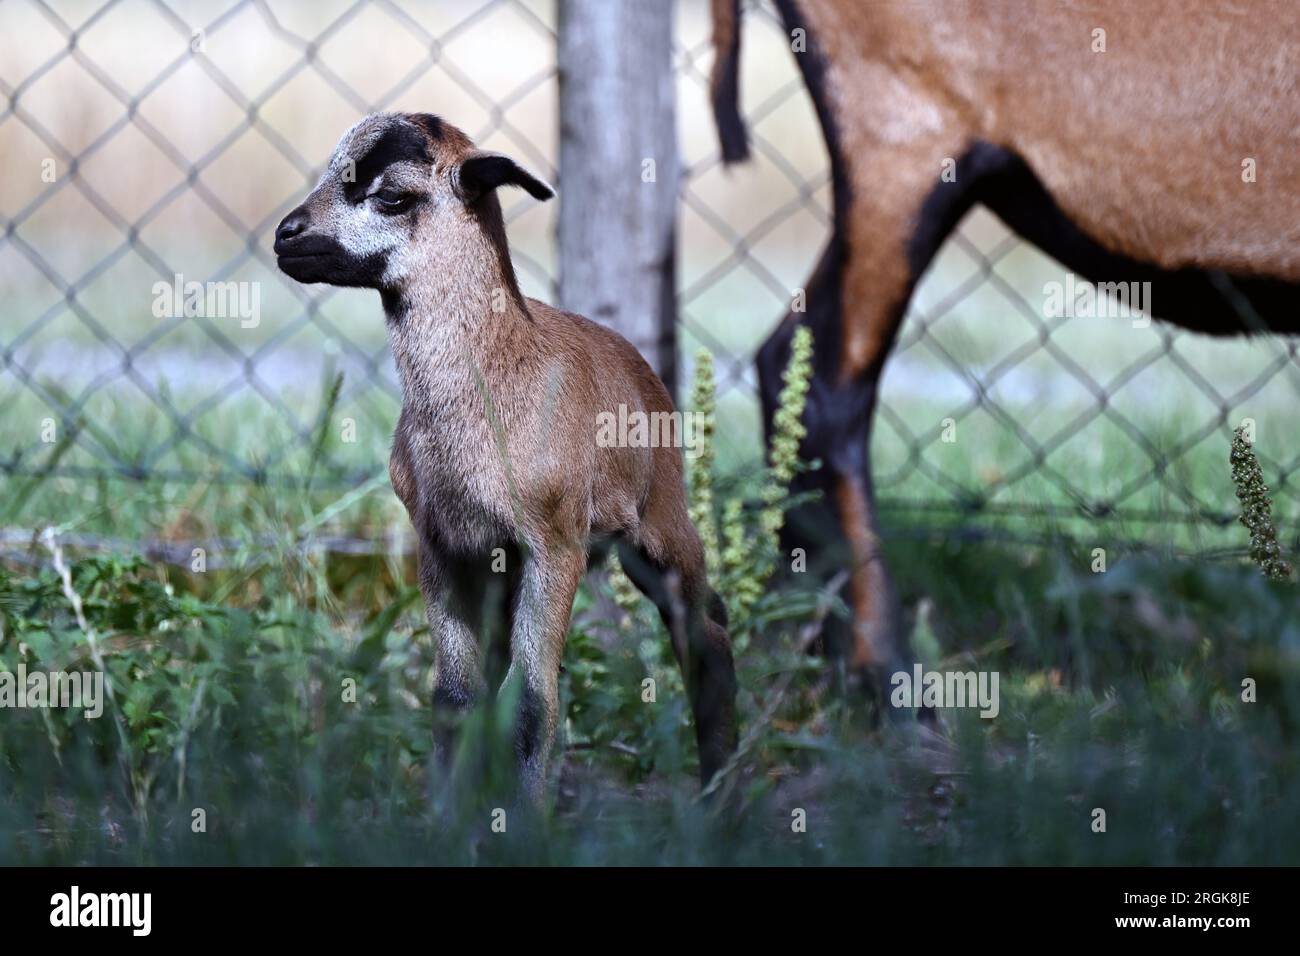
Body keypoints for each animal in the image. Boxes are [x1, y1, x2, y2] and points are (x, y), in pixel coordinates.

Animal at [274, 112, 737, 805]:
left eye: (392, 195)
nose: (286, 235)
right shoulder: (443, 547)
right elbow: (456, 700)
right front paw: (448, 816)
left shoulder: (555, 547)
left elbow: (532, 706)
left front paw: (525, 817)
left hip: (660, 521)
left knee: (707, 630)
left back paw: (722, 796)